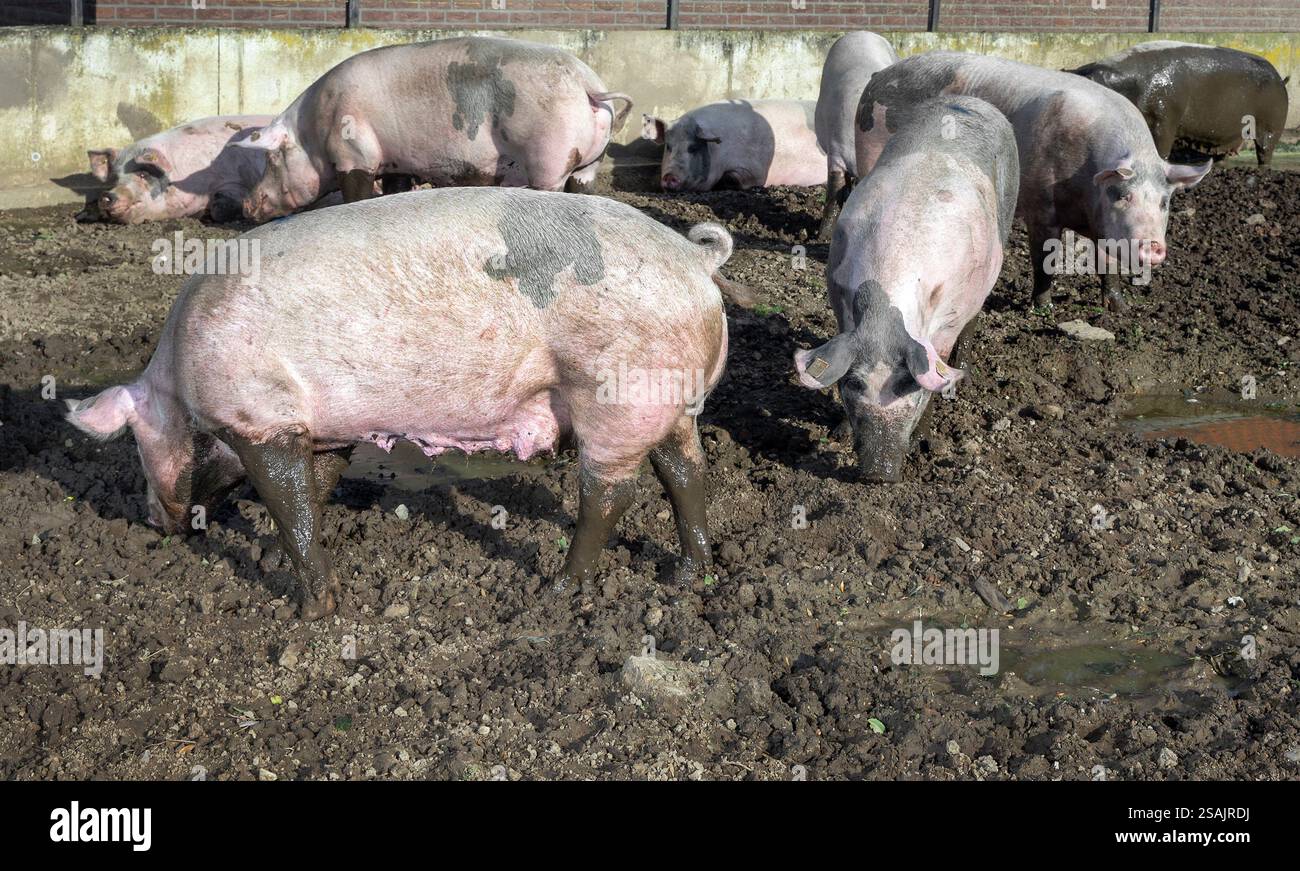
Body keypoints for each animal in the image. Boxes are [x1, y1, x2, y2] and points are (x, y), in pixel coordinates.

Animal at [65, 187, 748, 619]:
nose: (154, 522)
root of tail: (694, 257)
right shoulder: (325, 427)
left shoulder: (260, 415)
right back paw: (690, 574)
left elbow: (288, 501)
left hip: (615, 391)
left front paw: (311, 611)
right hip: (671, 402)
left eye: (137, 443)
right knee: (687, 471)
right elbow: (316, 489)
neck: (179, 381)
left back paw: (560, 589)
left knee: (612, 493)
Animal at [236, 37, 632, 222]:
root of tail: (588, 84)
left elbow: (357, 193)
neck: (313, 132)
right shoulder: (396, 163)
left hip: (548, 154)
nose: (245, 205)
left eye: (271, 159)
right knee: (583, 186)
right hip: (590, 163)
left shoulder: (354, 154)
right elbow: (395, 189)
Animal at [796, 96, 1019, 485]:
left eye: (908, 388)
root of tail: (973, 100)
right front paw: (839, 430)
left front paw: (924, 441)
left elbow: (937, 368)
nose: (879, 473)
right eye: (854, 385)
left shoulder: (944, 322)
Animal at [855, 51, 1213, 312]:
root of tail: (879, 76)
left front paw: (1119, 309)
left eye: (1164, 202)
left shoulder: (1104, 228)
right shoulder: (1041, 204)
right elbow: (1044, 260)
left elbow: (1108, 266)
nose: (1152, 246)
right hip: (870, 152)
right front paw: (1042, 309)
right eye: (1122, 195)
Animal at [1066, 41, 1291, 167]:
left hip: (1273, 124)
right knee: (1224, 154)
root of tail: (1280, 78)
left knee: (1265, 151)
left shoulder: (1165, 119)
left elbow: (1161, 148)